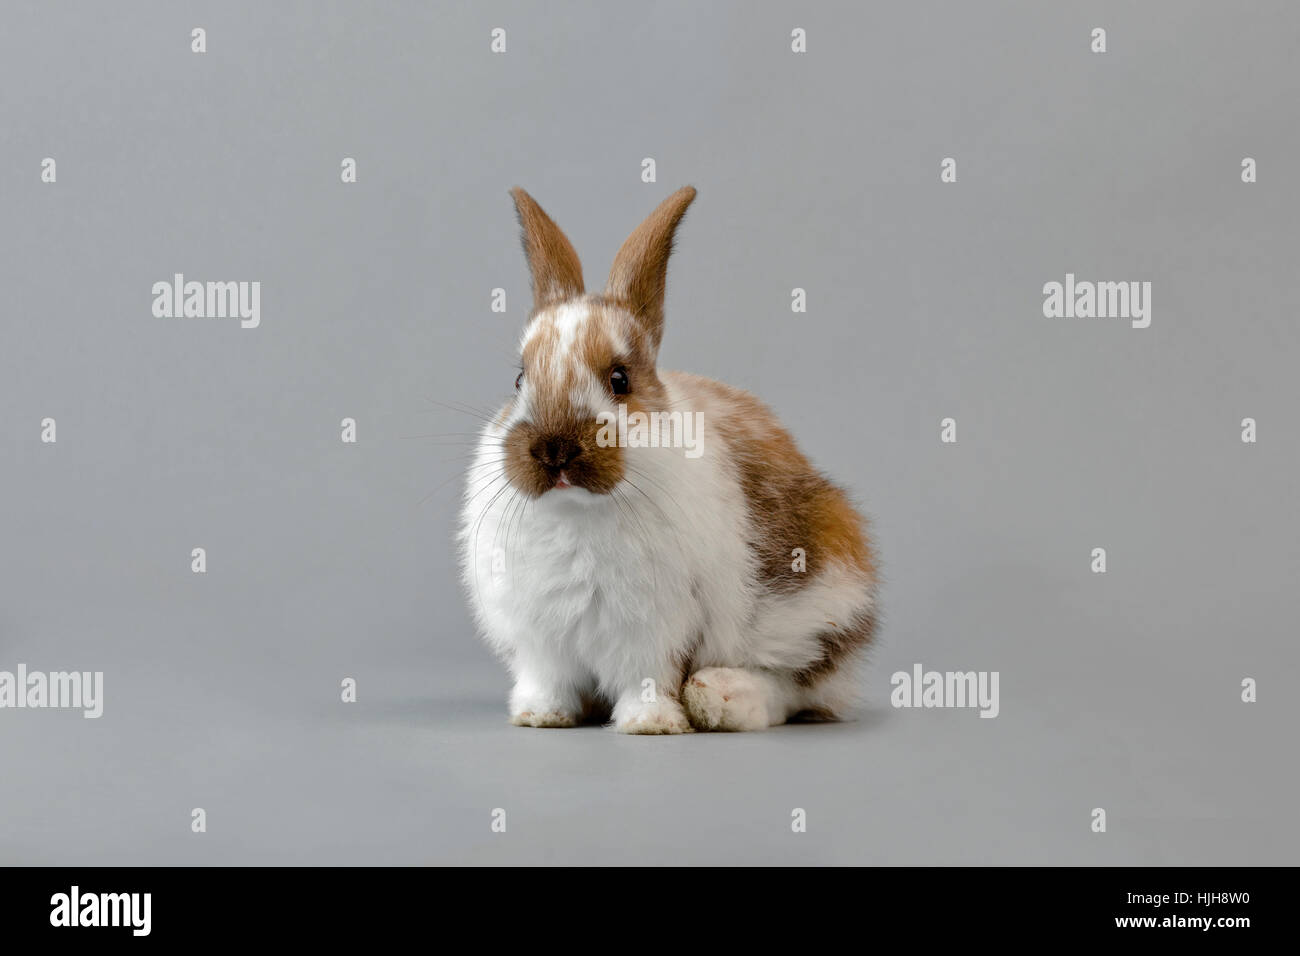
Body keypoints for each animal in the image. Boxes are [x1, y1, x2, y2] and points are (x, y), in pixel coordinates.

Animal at [459, 186, 879, 733]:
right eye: (519, 379)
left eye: (620, 379)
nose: (554, 449)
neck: (576, 512)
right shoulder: (541, 645)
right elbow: (548, 682)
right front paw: (539, 717)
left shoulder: (654, 633)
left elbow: (649, 679)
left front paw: (651, 724)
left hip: (822, 593)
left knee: (793, 687)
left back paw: (719, 696)